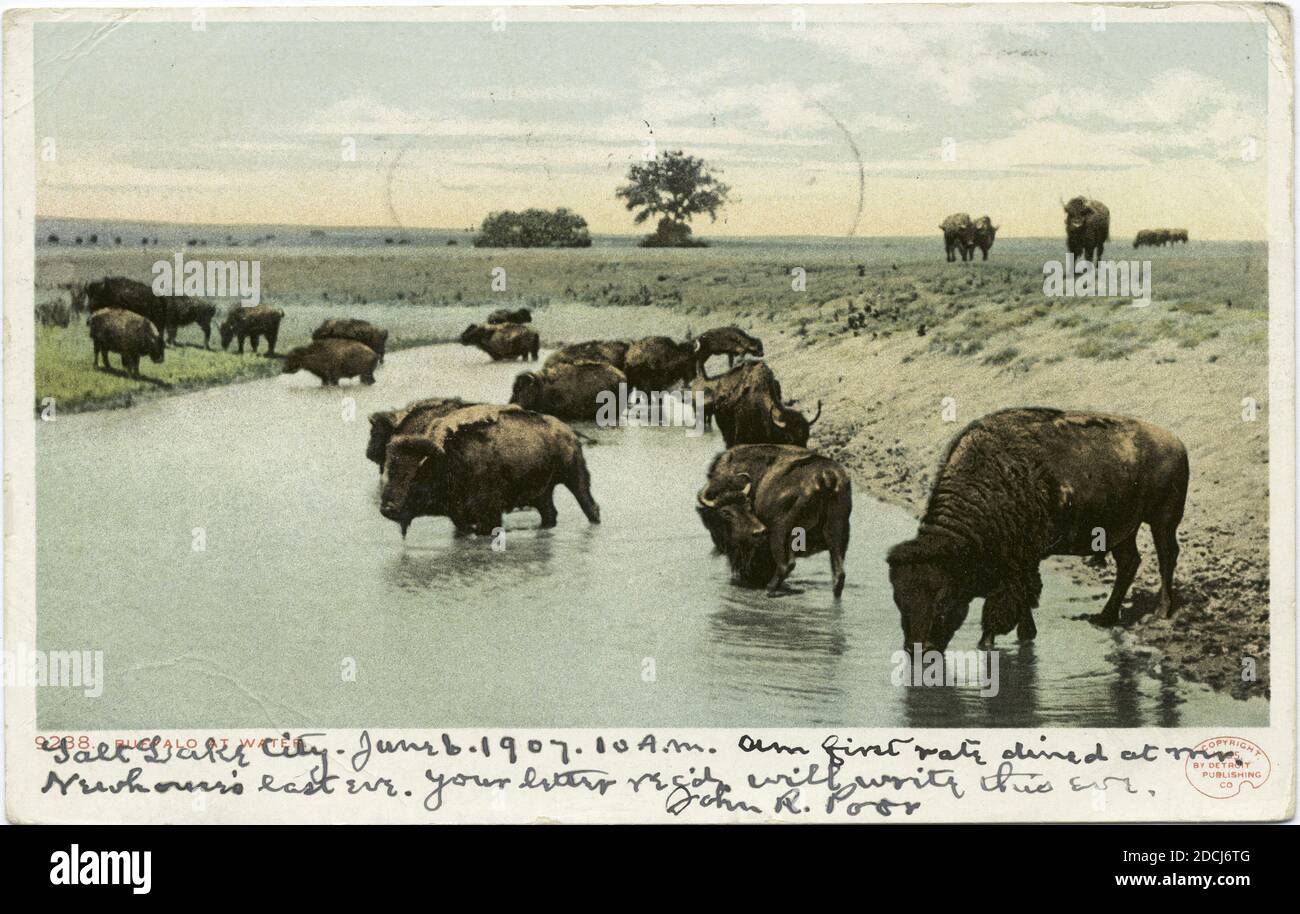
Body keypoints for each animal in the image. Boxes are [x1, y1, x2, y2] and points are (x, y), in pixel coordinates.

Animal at [380, 404, 601, 536]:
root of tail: (568, 431)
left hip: (576, 478)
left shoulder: (489, 516)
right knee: (550, 513)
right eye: (390, 470)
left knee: (590, 506)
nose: (387, 508)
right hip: (542, 494)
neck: (448, 458)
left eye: (415, 475)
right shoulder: (459, 517)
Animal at [696, 446, 851, 596]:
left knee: (786, 565)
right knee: (839, 573)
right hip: (838, 534)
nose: (759, 531)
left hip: (780, 535)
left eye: (749, 505)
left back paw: (769, 589)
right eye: (725, 512)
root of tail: (825, 476)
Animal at [886, 407, 1189, 654]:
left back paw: (1161, 611)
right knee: (1130, 563)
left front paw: (988, 642)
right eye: (899, 600)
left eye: (941, 600)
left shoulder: (1020, 561)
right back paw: (1104, 617)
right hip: (1123, 530)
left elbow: (1006, 603)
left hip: (1163, 520)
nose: (918, 649)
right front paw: (1023, 634)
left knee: (1167, 557)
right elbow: (1021, 600)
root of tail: (1177, 443)